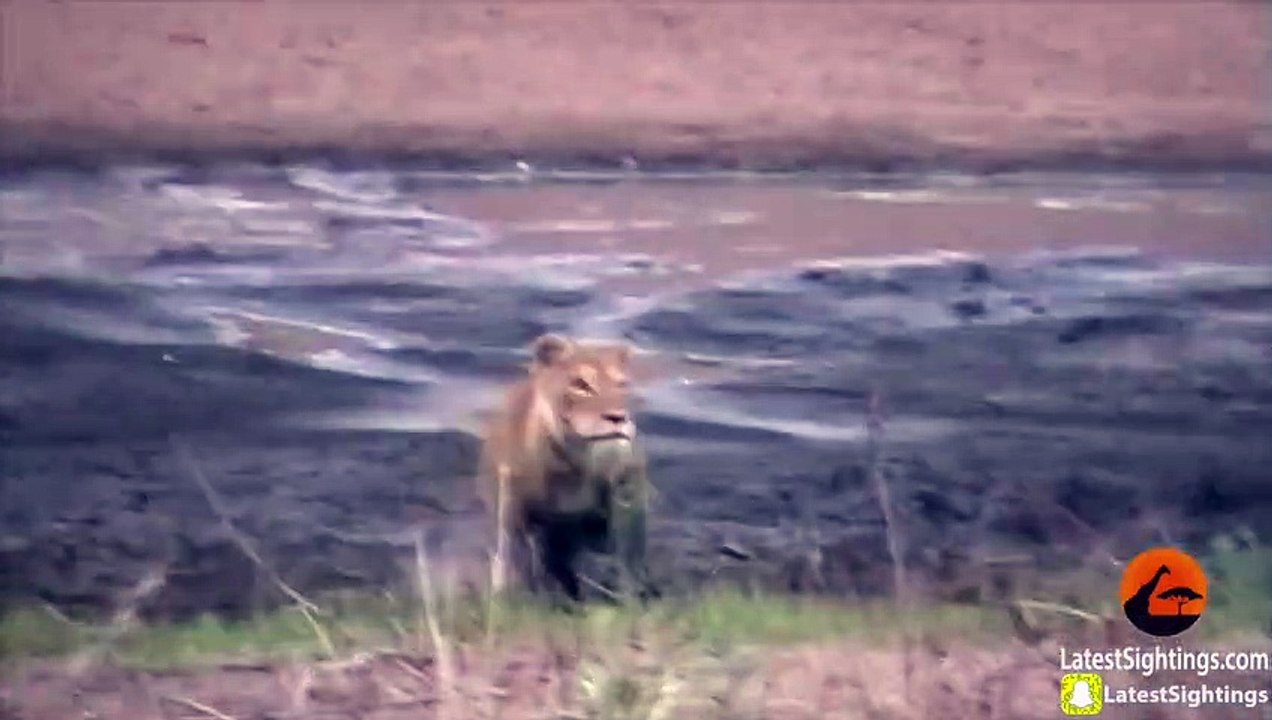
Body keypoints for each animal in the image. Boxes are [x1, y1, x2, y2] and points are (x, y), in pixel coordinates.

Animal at [478, 333, 658, 605]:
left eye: (621, 384)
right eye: (580, 384)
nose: (617, 418)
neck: (575, 463)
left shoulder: (627, 493)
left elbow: (627, 555)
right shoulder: (510, 495)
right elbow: (510, 553)